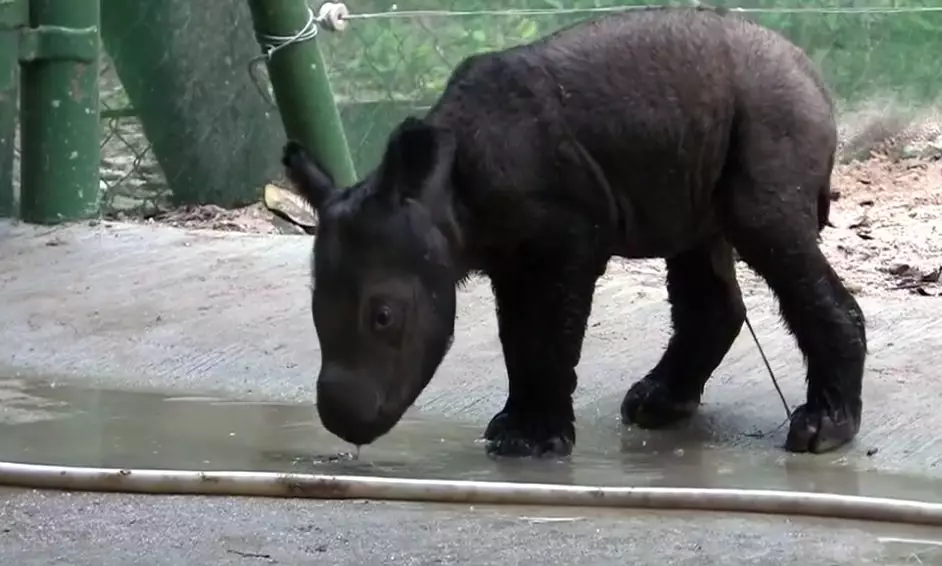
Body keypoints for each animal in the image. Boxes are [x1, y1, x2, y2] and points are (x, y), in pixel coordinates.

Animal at [282, 6, 872, 460]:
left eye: (383, 317)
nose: (342, 421)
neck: (440, 191)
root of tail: (812, 73)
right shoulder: (508, 253)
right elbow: (517, 337)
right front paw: (518, 429)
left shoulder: (566, 238)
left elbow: (547, 333)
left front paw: (532, 442)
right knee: (697, 245)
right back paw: (658, 405)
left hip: (772, 112)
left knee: (766, 228)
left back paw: (823, 430)